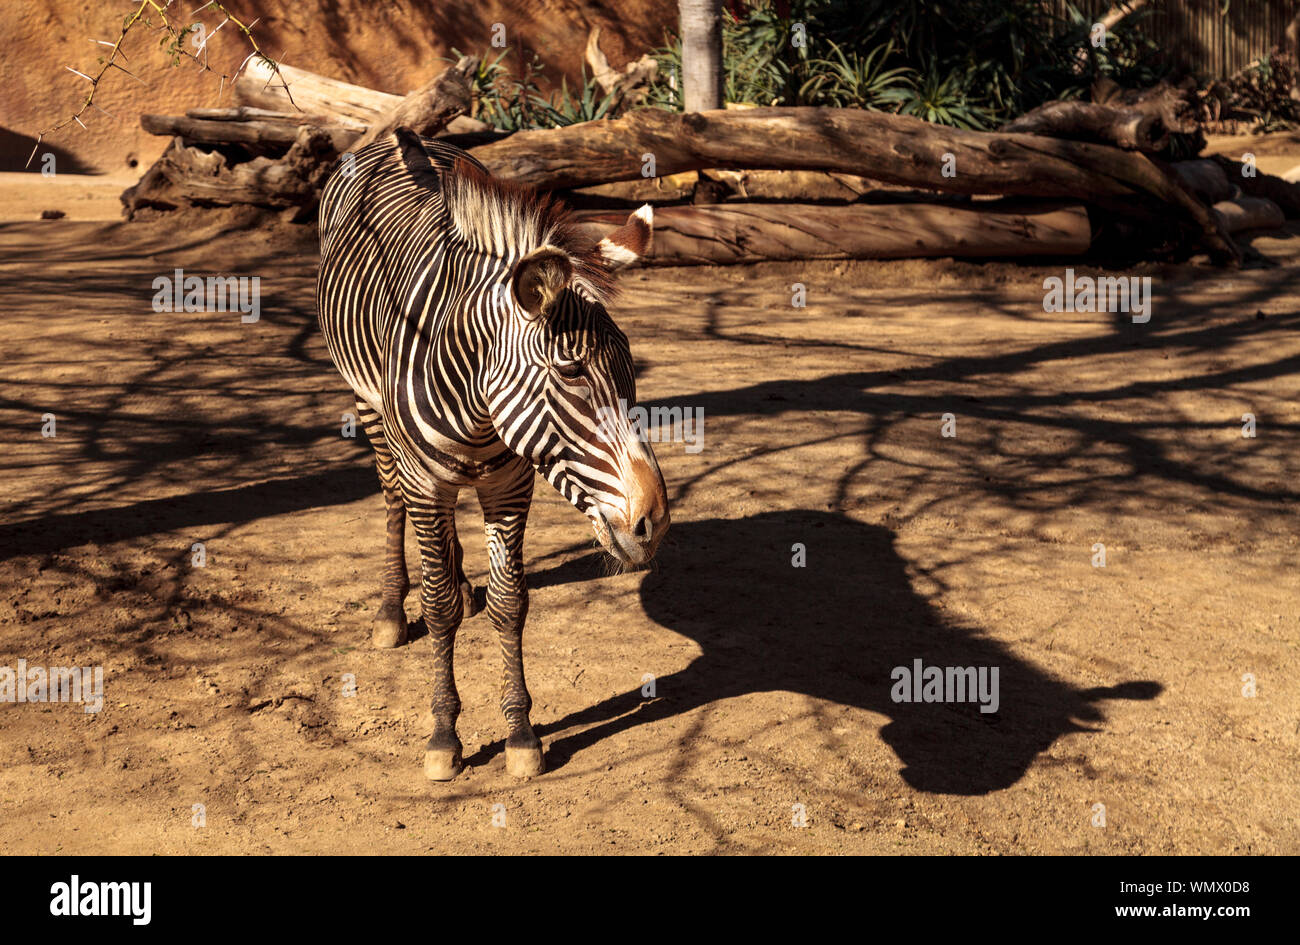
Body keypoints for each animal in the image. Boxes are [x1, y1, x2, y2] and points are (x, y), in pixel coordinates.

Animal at [317, 128, 669, 781]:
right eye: (571, 372)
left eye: (631, 368)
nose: (652, 523)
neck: (478, 402)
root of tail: (400, 134)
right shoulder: (425, 480)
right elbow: (435, 609)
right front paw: (443, 735)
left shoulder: (510, 483)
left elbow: (511, 603)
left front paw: (521, 734)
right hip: (368, 409)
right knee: (390, 498)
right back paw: (390, 610)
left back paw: (459, 578)